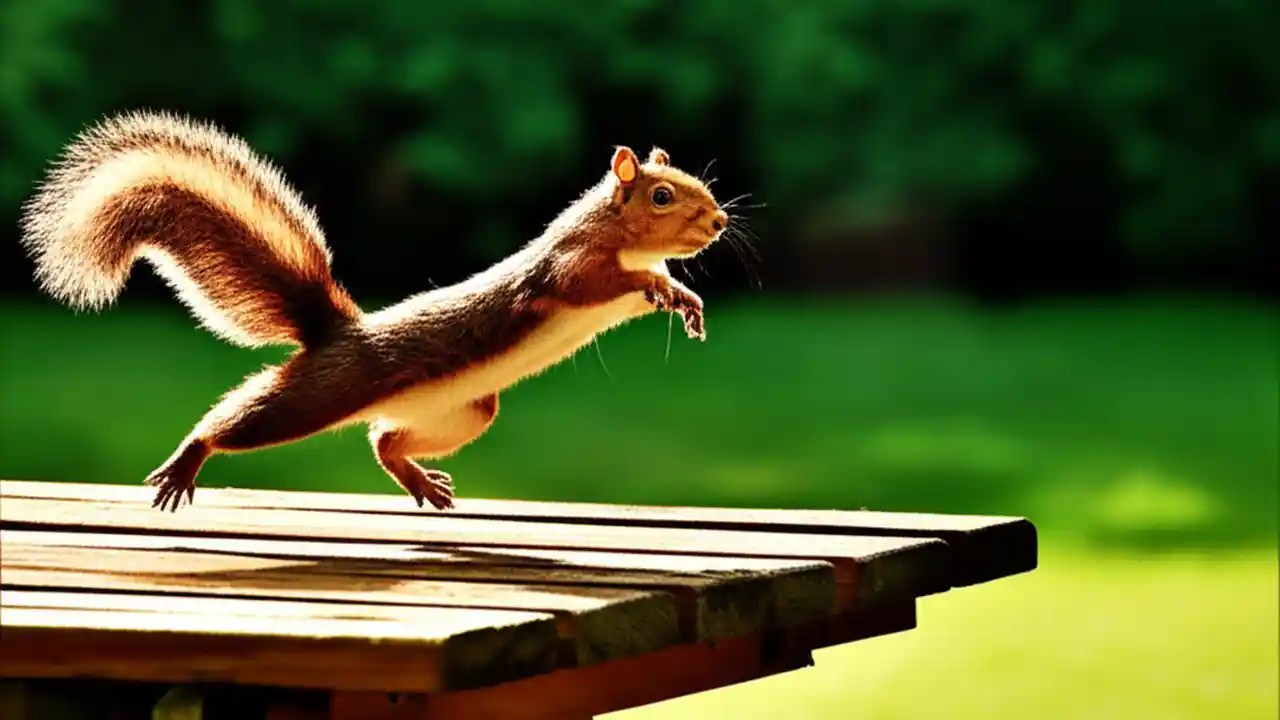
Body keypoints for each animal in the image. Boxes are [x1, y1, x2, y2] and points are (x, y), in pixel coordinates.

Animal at [20, 111, 728, 512]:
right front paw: (661, 288)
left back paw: (419, 481)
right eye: (663, 196)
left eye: (700, 185)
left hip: (464, 412)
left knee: (384, 440)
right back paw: (191, 455)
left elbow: (659, 282)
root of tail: (340, 333)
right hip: (320, 393)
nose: (719, 221)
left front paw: (685, 300)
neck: (620, 235)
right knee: (245, 418)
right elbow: (600, 279)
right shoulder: (569, 267)